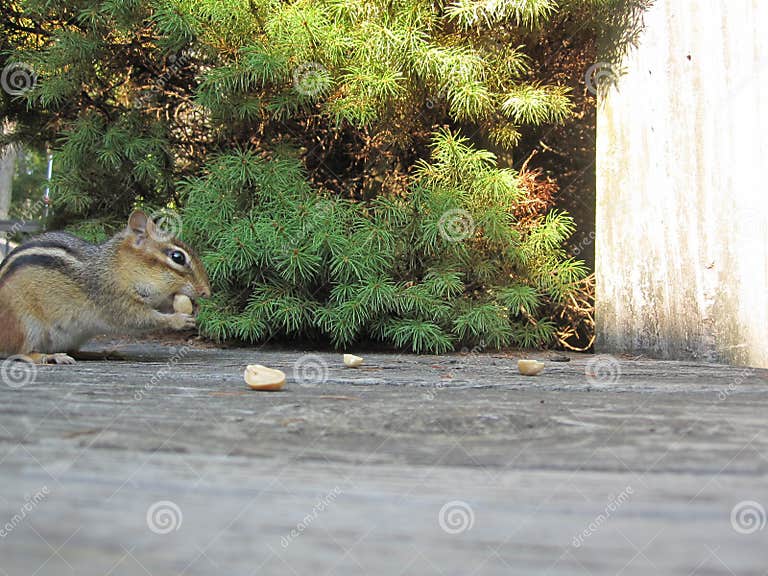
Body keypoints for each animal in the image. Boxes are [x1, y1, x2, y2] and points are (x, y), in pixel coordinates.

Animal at [0, 211, 211, 364]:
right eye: (178, 257)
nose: (206, 292)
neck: (117, 268)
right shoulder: (112, 298)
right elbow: (139, 319)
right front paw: (178, 320)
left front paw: (196, 308)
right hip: (24, 325)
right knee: (19, 353)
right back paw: (50, 356)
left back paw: (101, 353)